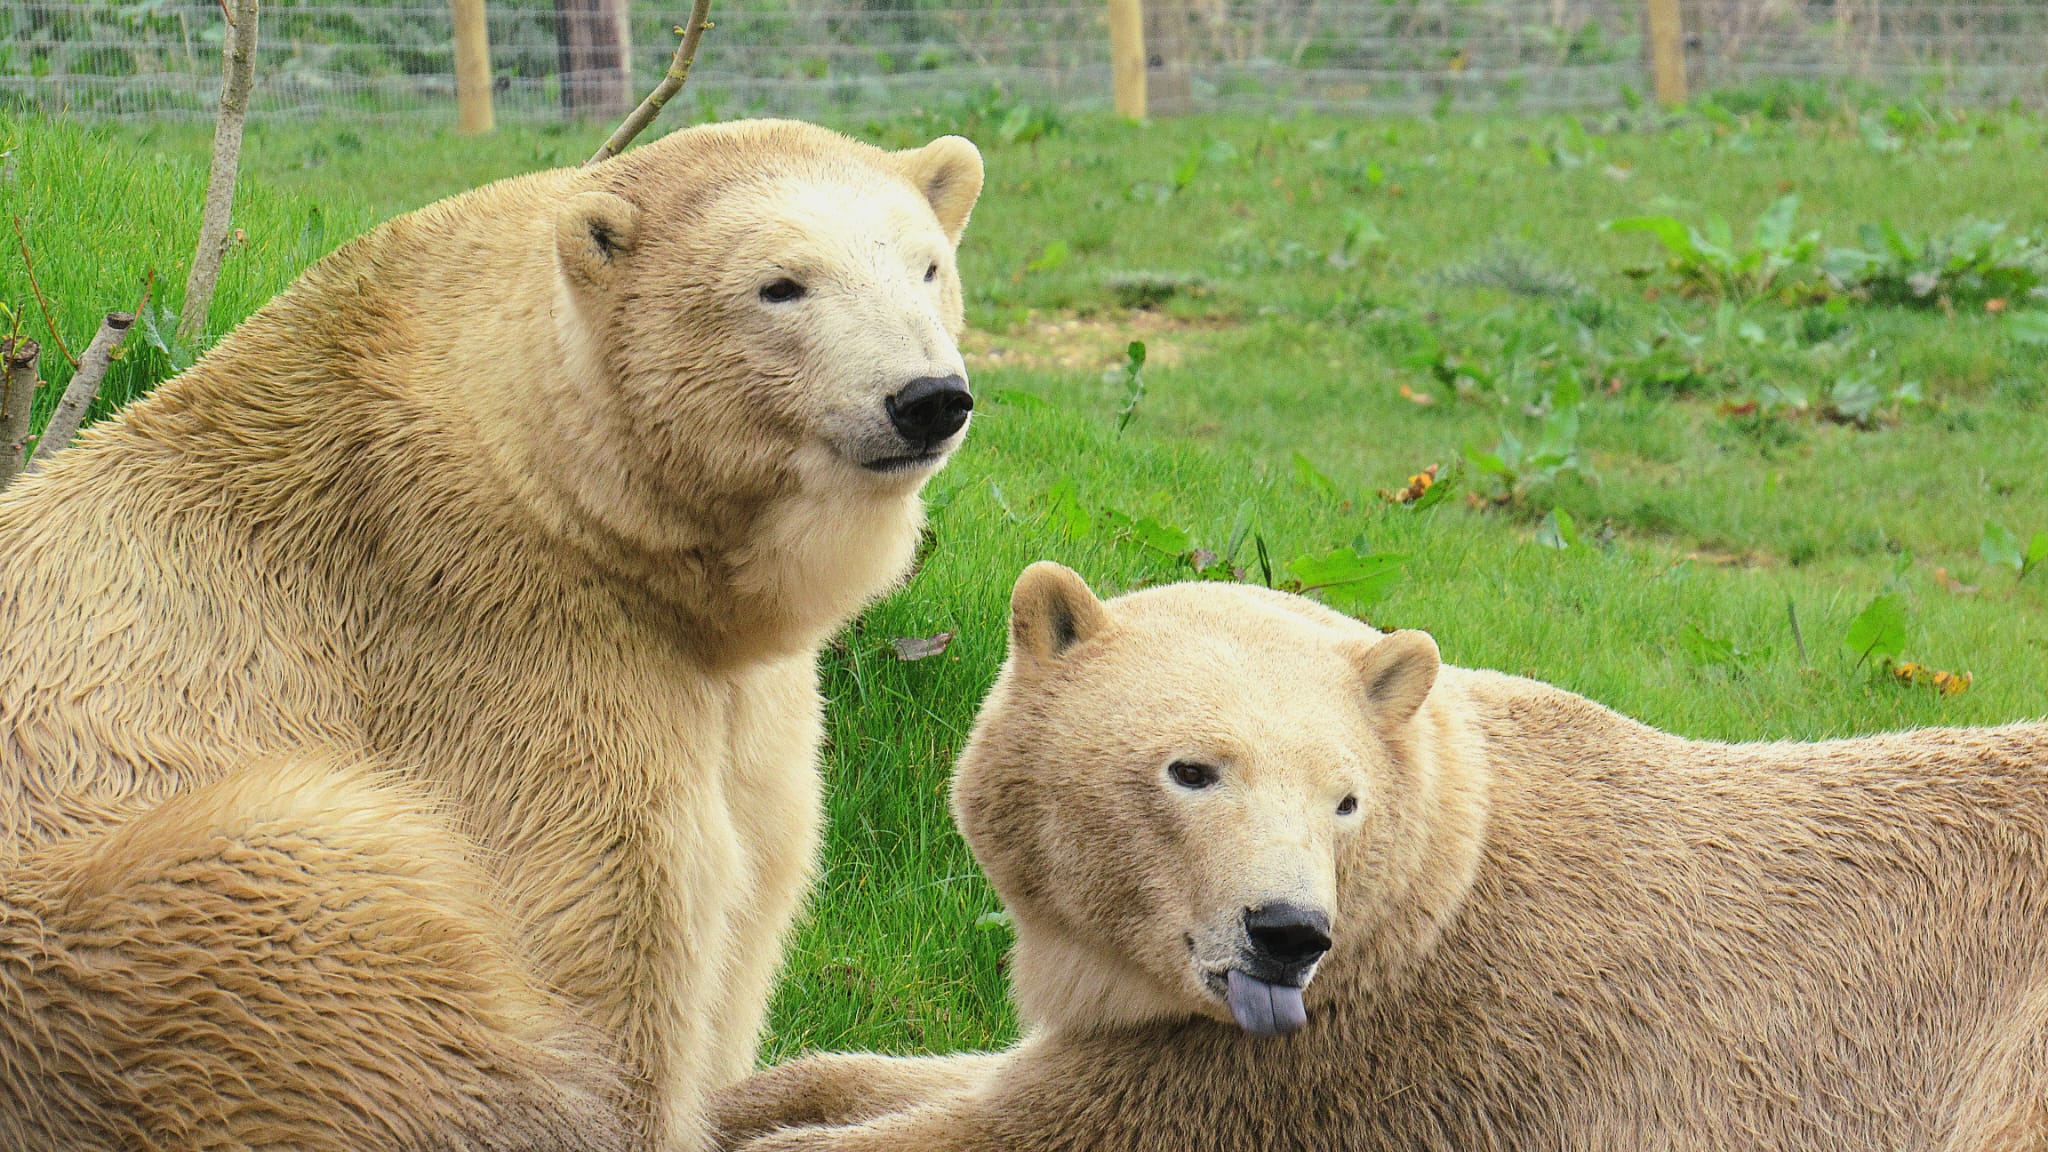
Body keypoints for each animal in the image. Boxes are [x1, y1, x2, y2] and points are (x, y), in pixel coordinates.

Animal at [0, 118, 983, 1152]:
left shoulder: (731, 685)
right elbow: (603, 946)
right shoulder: (493, 619)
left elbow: (760, 867)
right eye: (780, 284)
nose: (927, 397)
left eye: (927, 265)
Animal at [708, 562, 2048, 1152]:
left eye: (1343, 800)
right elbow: (925, 1074)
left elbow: (1005, 1128)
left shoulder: (1340, 1062)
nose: (1286, 933)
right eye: (1191, 770)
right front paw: (747, 1089)